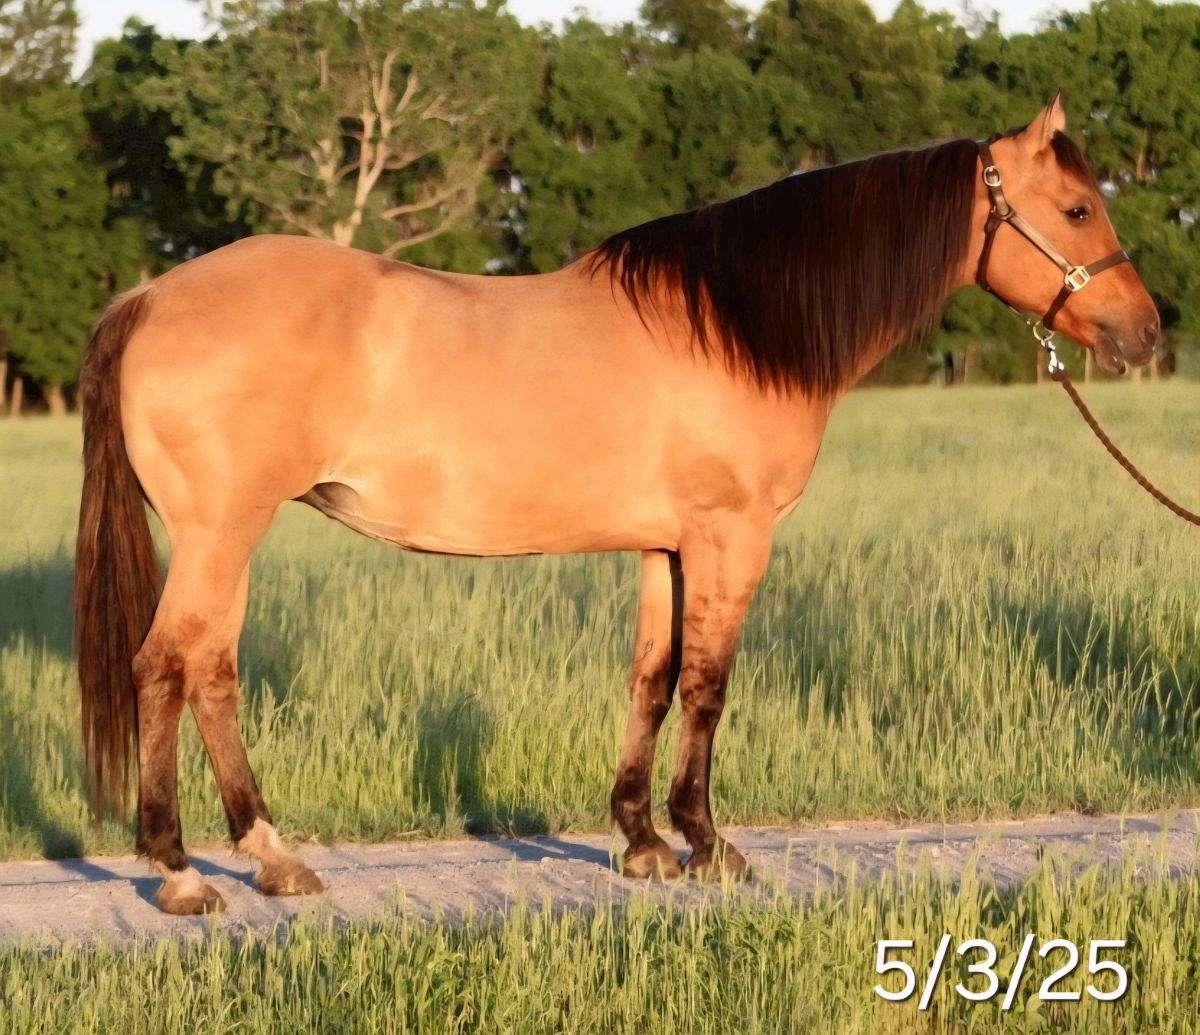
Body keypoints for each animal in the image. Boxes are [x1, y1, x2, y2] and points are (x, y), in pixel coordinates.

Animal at [74, 94, 1158, 915]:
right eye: (1075, 210)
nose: (1145, 332)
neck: (734, 326)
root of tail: (151, 297)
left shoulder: (663, 549)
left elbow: (651, 679)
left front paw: (641, 843)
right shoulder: (731, 539)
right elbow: (708, 687)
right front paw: (708, 844)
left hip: (230, 538)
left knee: (212, 673)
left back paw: (274, 859)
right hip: (221, 531)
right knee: (165, 668)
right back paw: (181, 873)